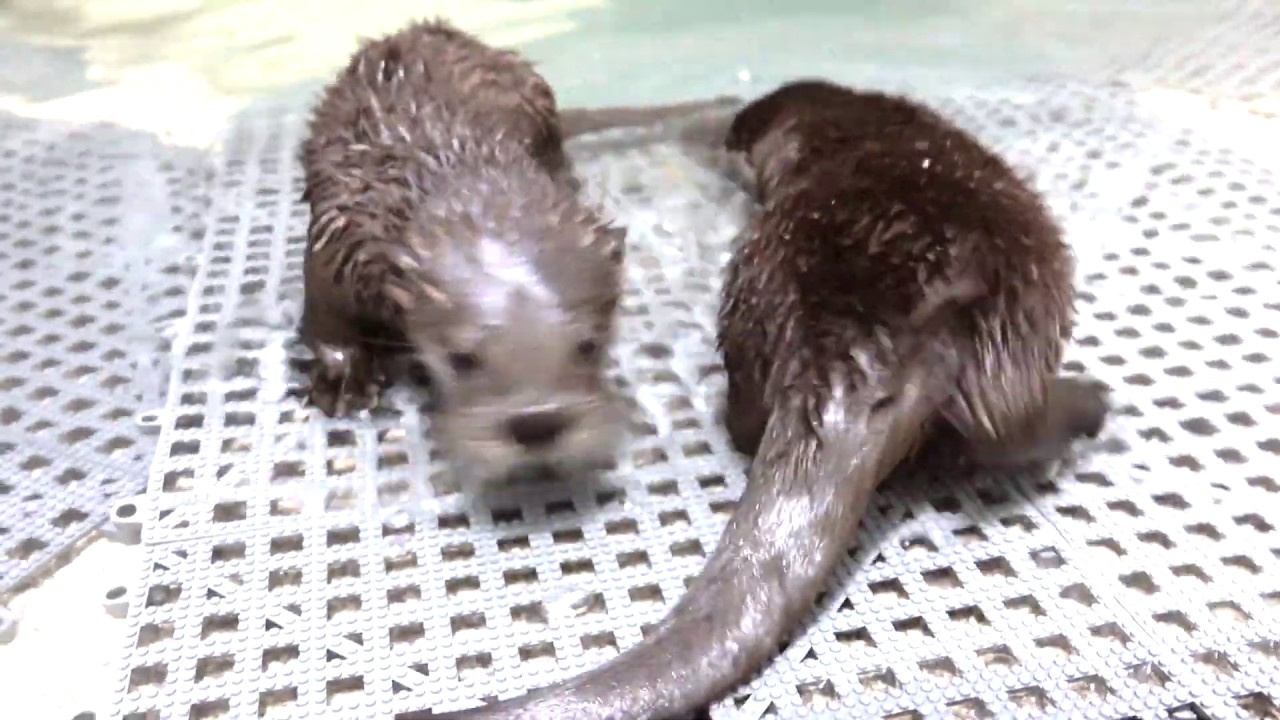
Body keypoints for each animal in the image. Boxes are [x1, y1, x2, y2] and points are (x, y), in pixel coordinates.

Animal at [298, 18, 738, 488]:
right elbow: (325, 314)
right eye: (461, 359)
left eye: (590, 345)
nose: (537, 423)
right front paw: (344, 380)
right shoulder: (342, 238)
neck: (452, 167)